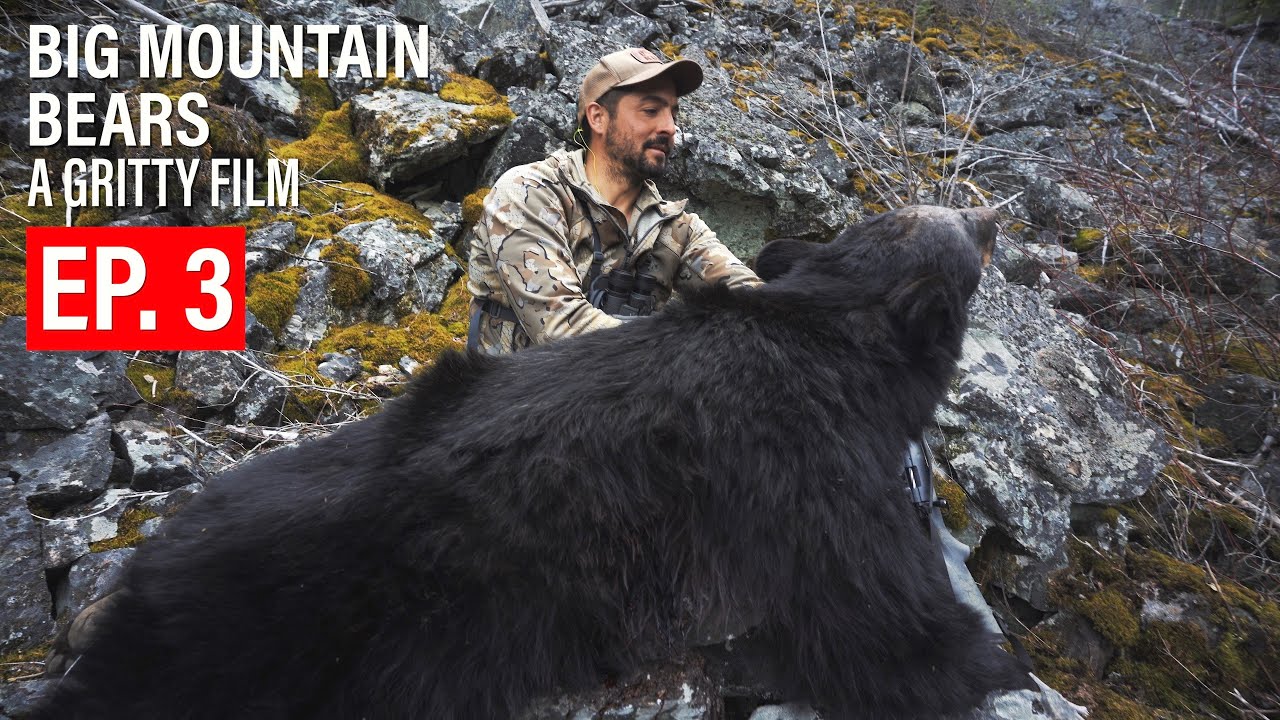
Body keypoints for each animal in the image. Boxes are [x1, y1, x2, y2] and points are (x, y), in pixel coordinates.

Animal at [34, 204, 1029, 720]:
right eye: (967, 240)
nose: (988, 211)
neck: (835, 329)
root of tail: (151, 561)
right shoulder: (815, 484)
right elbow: (879, 628)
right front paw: (992, 662)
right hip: (263, 644)